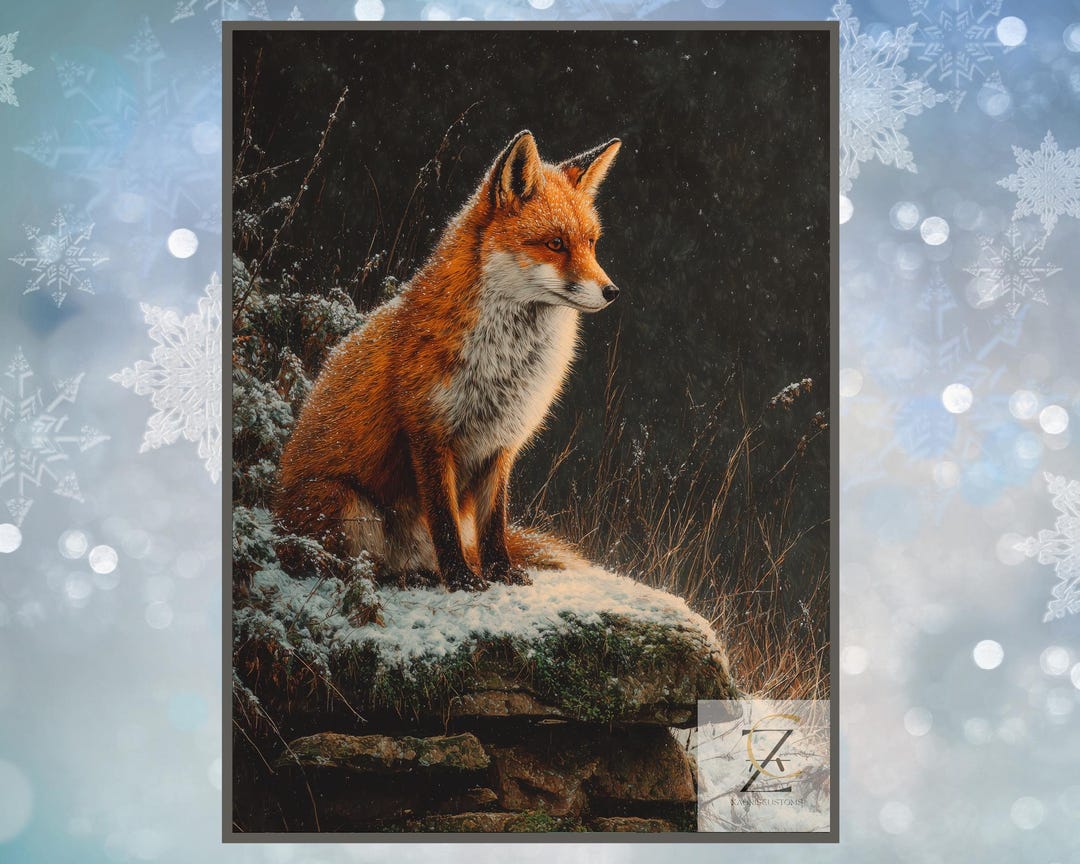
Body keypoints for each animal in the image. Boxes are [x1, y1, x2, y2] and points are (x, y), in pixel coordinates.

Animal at [274, 130, 622, 591]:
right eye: (555, 244)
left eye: (591, 243)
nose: (612, 291)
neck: (505, 366)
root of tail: (276, 520)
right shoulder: (429, 433)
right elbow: (444, 519)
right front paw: (460, 578)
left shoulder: (502, 444)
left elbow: (494, 524)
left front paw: (501, 573)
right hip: (344, 504)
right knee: (341, 565)